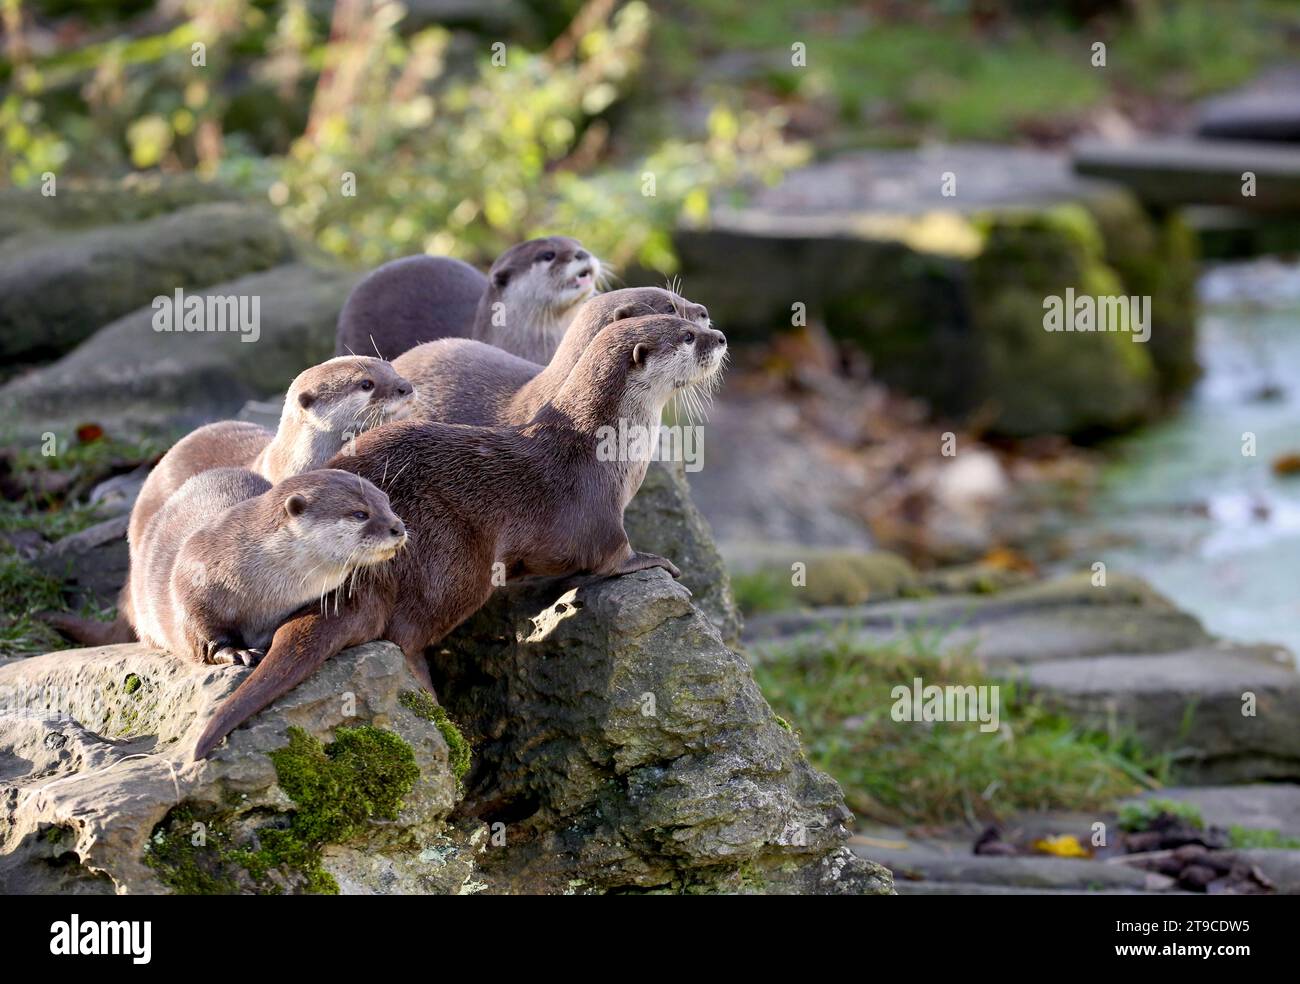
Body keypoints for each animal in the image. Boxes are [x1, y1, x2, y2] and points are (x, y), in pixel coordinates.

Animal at [131, 467, 406, 666]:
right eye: (360, 514)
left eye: (387, 503)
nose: (399, 527)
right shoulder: (191, 583)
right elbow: (205, 635)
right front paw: (236, 652)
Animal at [194, 313, 727, 758]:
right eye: (687, 336)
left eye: (694, 321)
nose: (720, 337)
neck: (607, 446)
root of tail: (352, 571)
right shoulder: (598, 513)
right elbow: (613, 554)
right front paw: (651, 560)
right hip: (460, 558)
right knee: (404, 634)